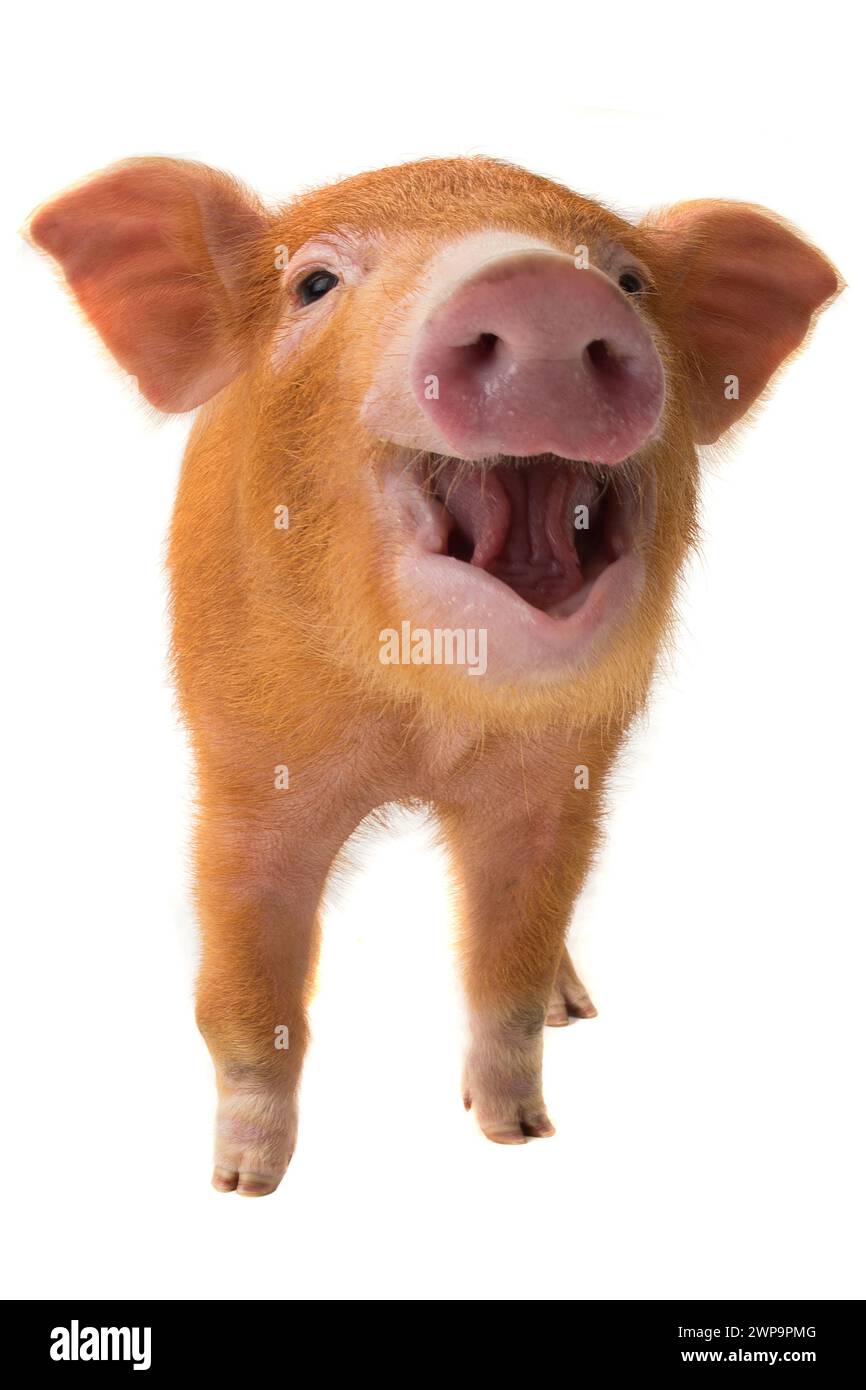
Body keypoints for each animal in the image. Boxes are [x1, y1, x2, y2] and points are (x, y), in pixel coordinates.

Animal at [27, 156, 840, 1195]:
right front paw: (243, 1182)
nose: (541, 284)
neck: (429, 731)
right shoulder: (245, 773)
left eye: (629, 282)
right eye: (315, 284)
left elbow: (510, 968)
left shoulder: (556, 787)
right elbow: (245, 990)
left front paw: (520, 1136)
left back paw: (575, 1007)